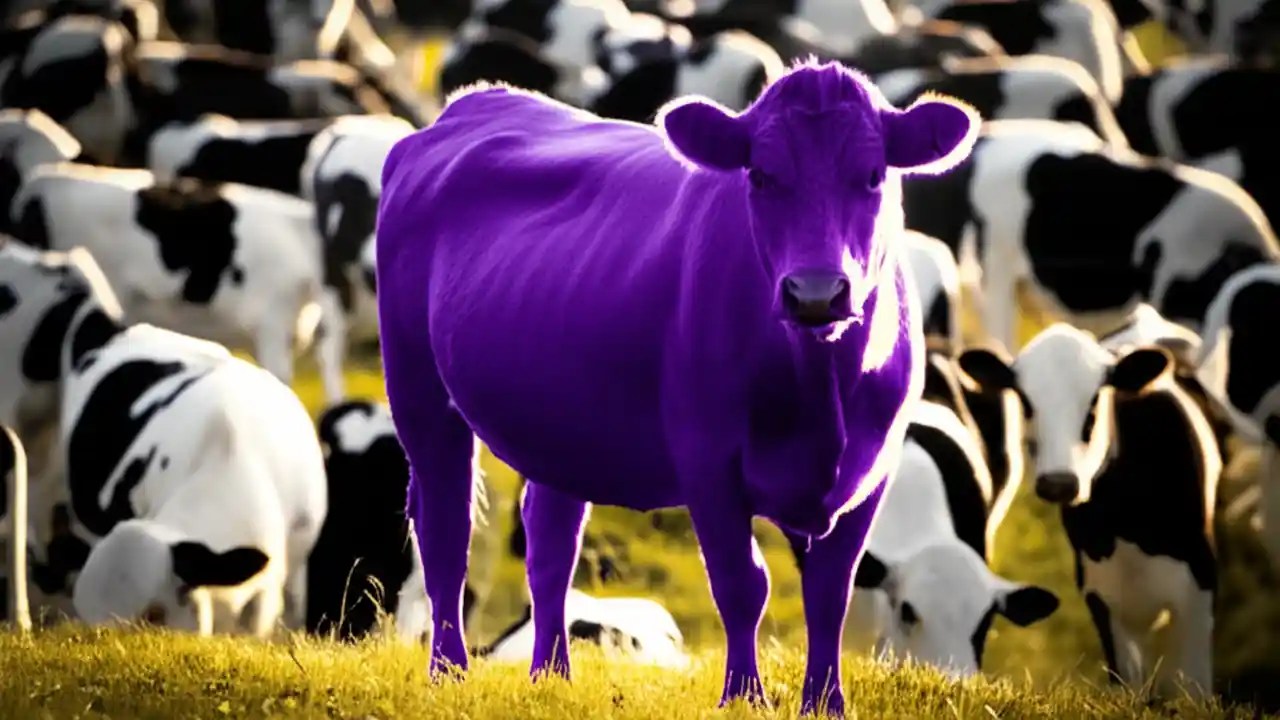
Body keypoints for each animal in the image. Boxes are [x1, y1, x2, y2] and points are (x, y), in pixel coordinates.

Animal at [958, 323, 1220, 699]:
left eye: (1095, 403)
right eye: (1026, 403)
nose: (1059, 482)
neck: (1125, 523)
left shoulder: (1200, 581)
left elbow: (1194, 688)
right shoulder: (1099, 593)